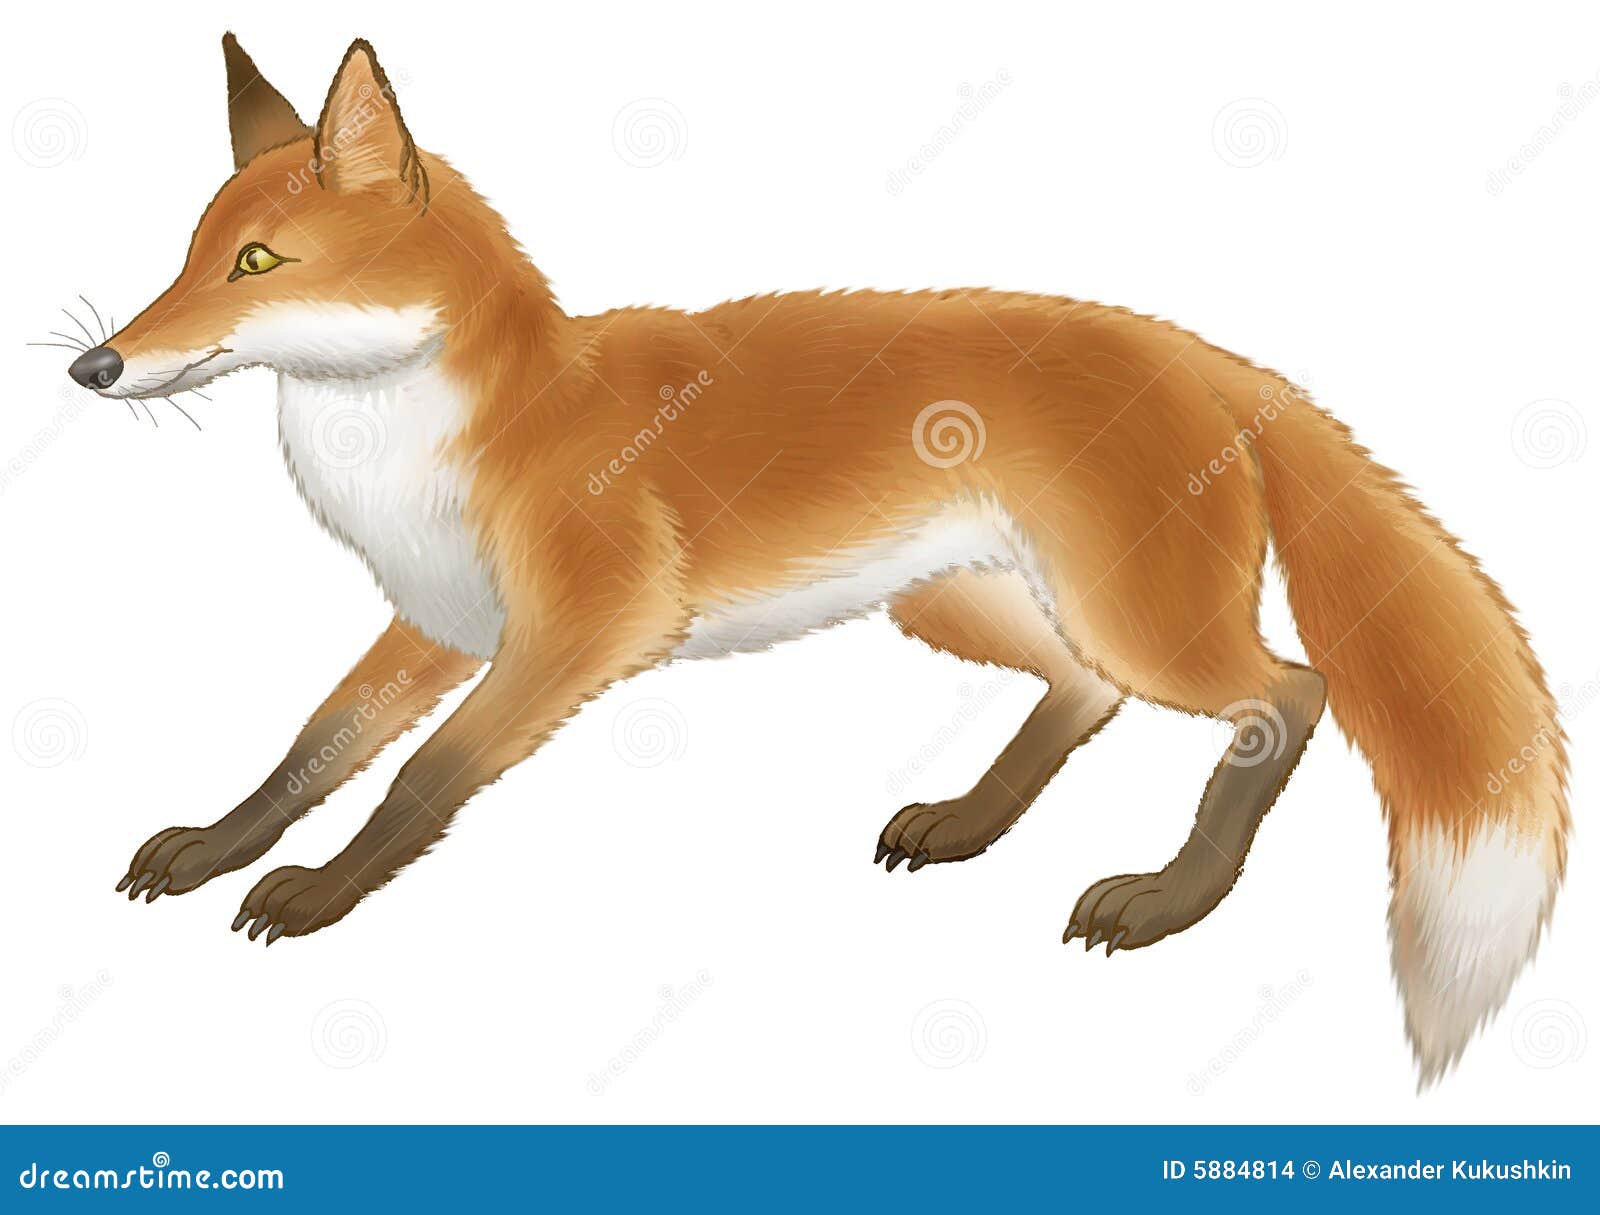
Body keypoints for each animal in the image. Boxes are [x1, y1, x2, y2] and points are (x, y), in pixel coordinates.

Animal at [63, 34, 1566, 1085]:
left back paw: (1169, 897)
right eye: (187, 256)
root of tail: (1200, 351)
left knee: (1288, 694)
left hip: (1138, 617)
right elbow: (306, 755)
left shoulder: (586, 627)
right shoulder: (437, 622)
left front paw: (318, 896)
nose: (94, 365)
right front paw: (212, 848)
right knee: (1086, 693)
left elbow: (414, 783)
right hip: (963, 610)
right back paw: (968, 821)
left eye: (258, 263)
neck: (441, 435)